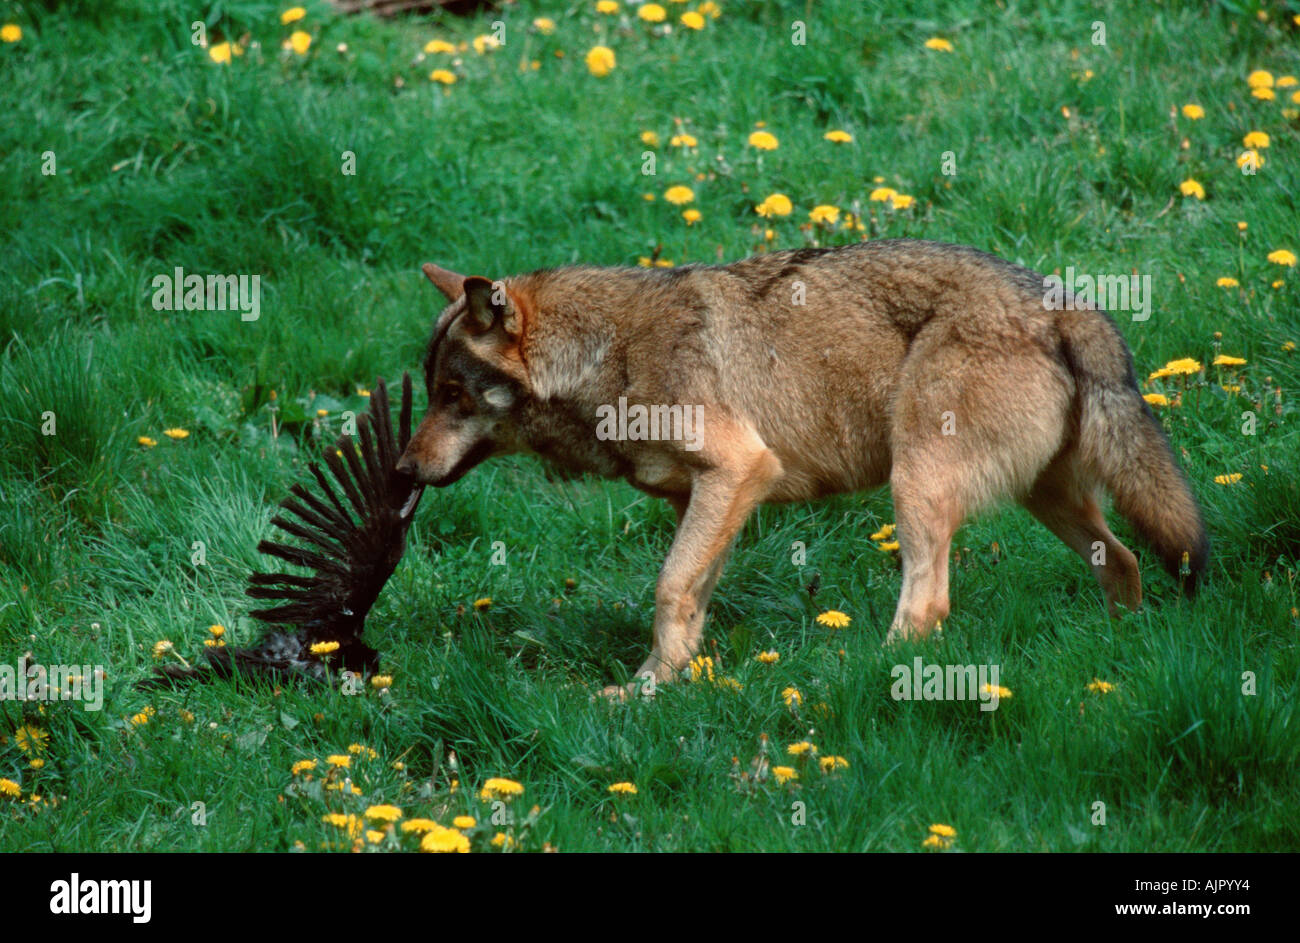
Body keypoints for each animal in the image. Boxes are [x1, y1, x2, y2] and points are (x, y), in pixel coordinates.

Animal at [395, 239, 1209, 696]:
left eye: (451, 394)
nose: (401, 470)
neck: (604, 356)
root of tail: (1063, 300)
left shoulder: (741, 469)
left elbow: (666, 589)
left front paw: (646, 693)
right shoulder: (710, 499)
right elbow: (689, 601)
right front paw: (668, 684)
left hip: (915, 486)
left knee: (927, 607)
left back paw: (860, 677)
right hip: (1048, 501)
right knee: (1124, 561)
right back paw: (1119, 651)